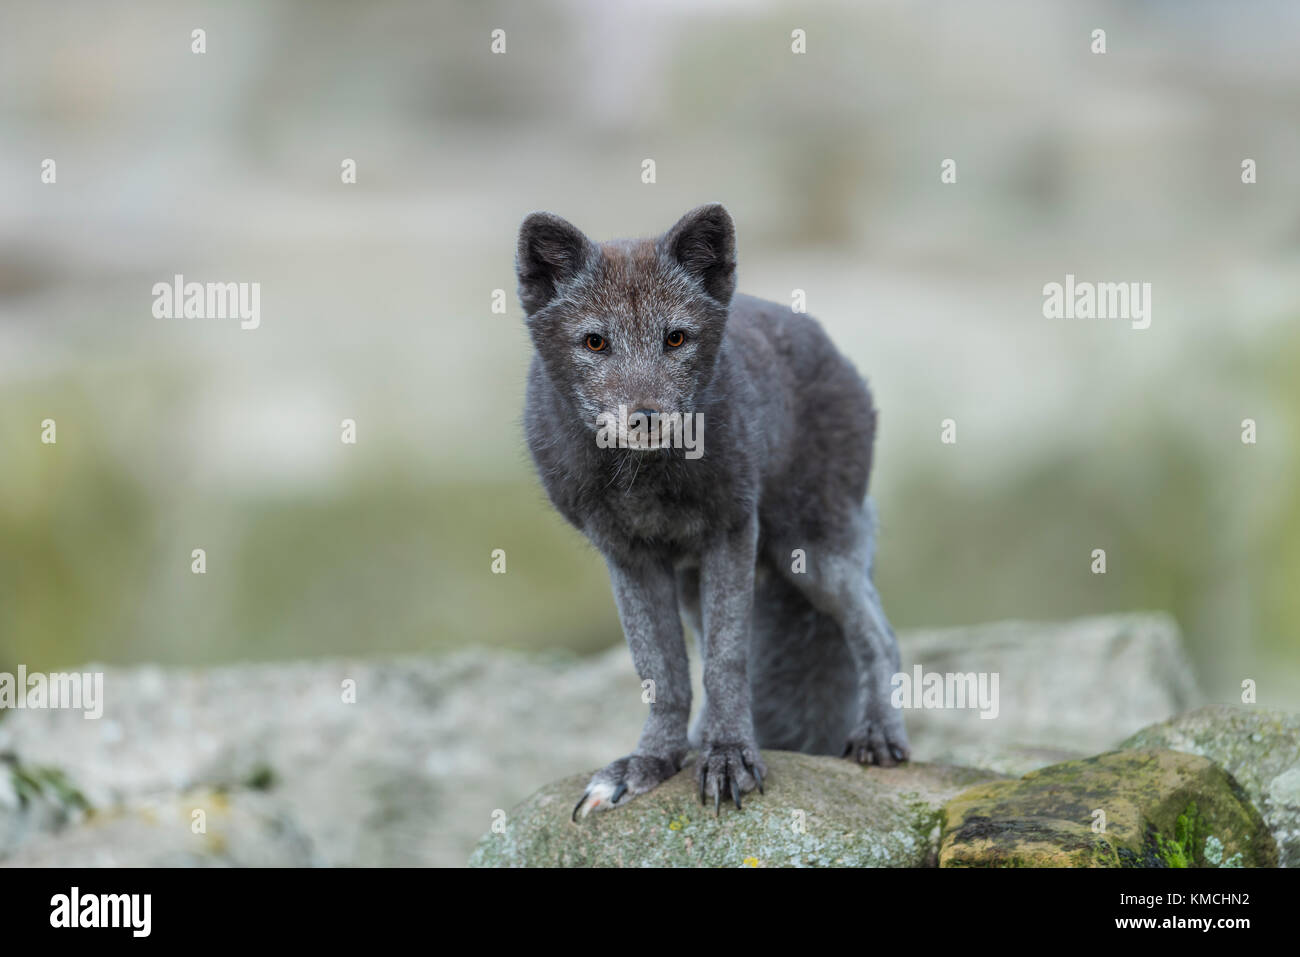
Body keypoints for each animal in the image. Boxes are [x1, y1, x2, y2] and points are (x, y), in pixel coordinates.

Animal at [517, 204, 909, 818]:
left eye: (676, 338)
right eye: (595, 342)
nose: (646, 417)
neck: (647, 479)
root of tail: (830, 344)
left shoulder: (733, 530)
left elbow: (727, 662)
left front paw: (728, 756)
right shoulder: (627, 555)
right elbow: (663, 672)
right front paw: (651, 761)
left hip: (811, 554)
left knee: (880, 633)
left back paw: (878, 734)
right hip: (696, 579)